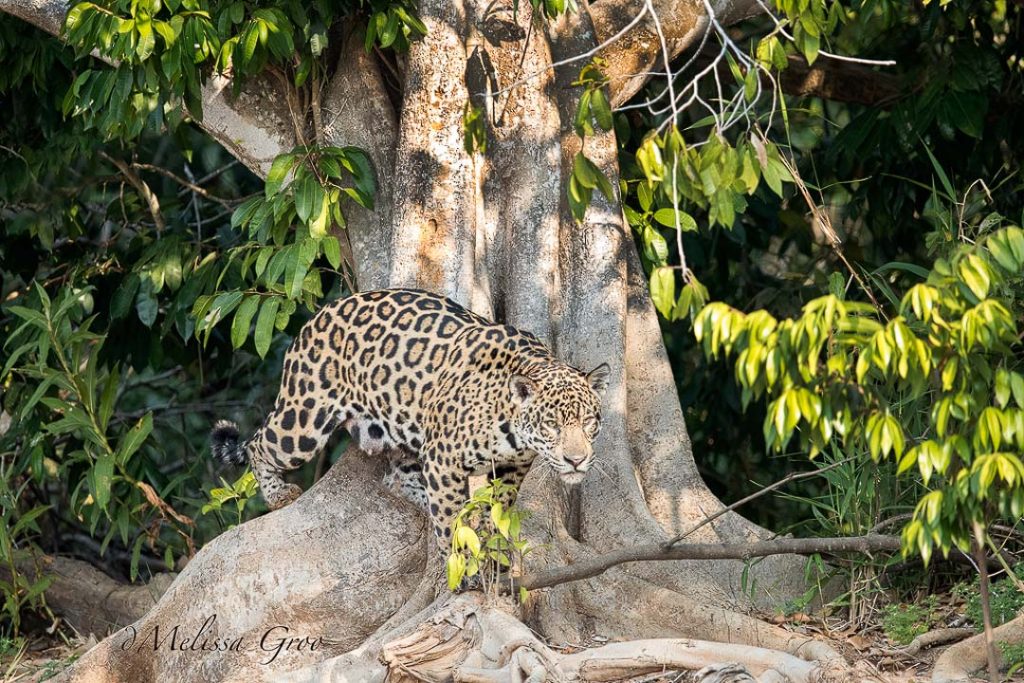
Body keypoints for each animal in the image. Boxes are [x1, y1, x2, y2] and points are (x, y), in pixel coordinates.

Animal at [210, 288, 610, 552]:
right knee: (261, 444)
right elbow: (449, 518)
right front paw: (463, 565)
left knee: (396, 479)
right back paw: (278, 494)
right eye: (551, 425)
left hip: (398, 429)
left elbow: (498, 504)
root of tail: (315, 317)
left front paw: (489, 539)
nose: (577, 460)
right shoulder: (445, 458)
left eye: (589, 421)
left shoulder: (514, 466)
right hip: (305, 418)